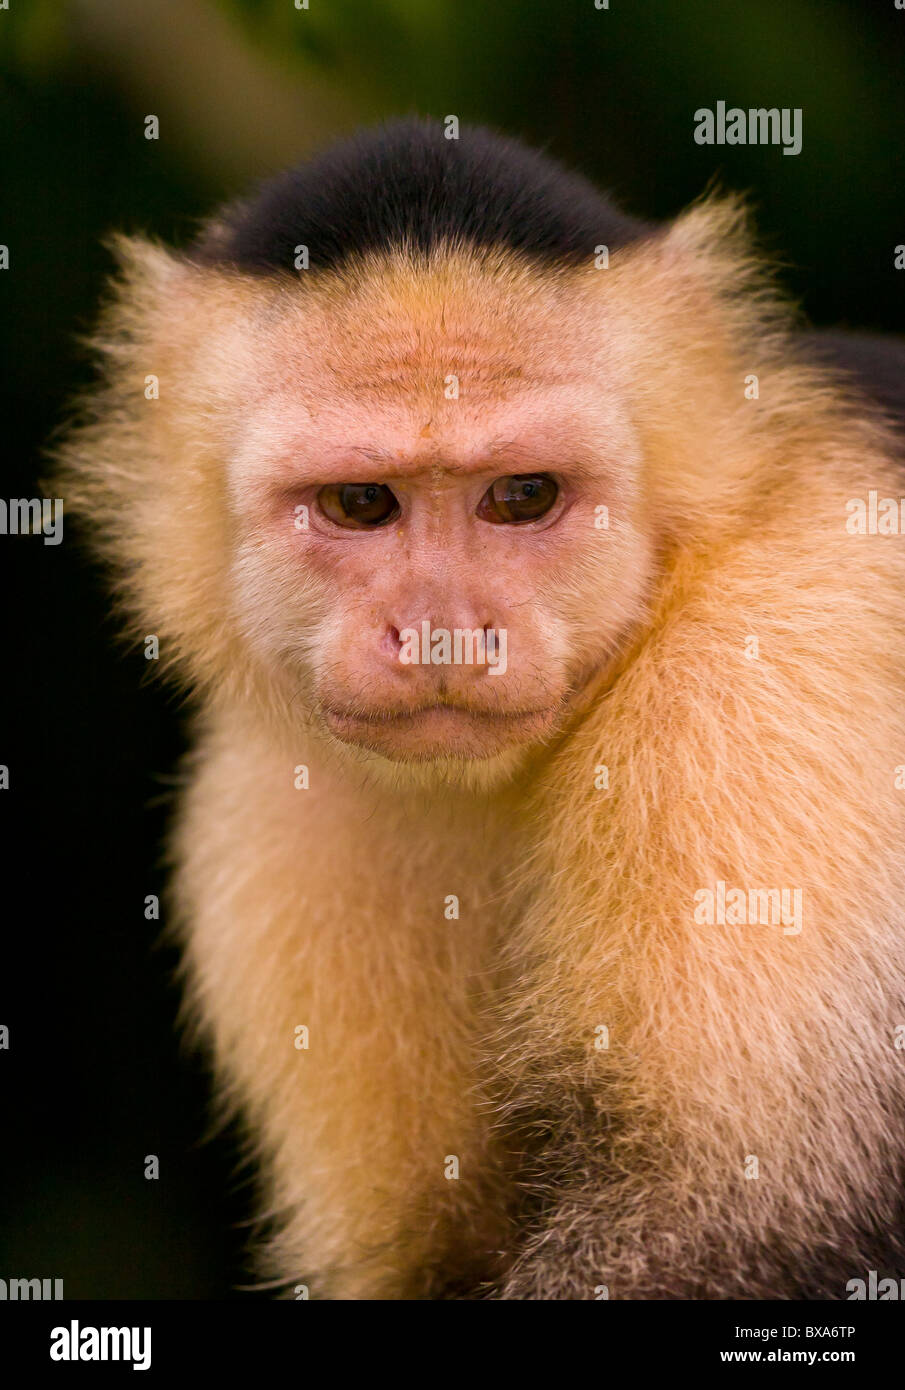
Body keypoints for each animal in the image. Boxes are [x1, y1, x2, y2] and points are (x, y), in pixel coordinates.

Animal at [56, 116, 905, 1299]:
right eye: (359, 503)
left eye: (522, 496)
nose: (445, 633)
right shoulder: (277, 811)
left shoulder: (786, 653)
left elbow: (740, 1217)